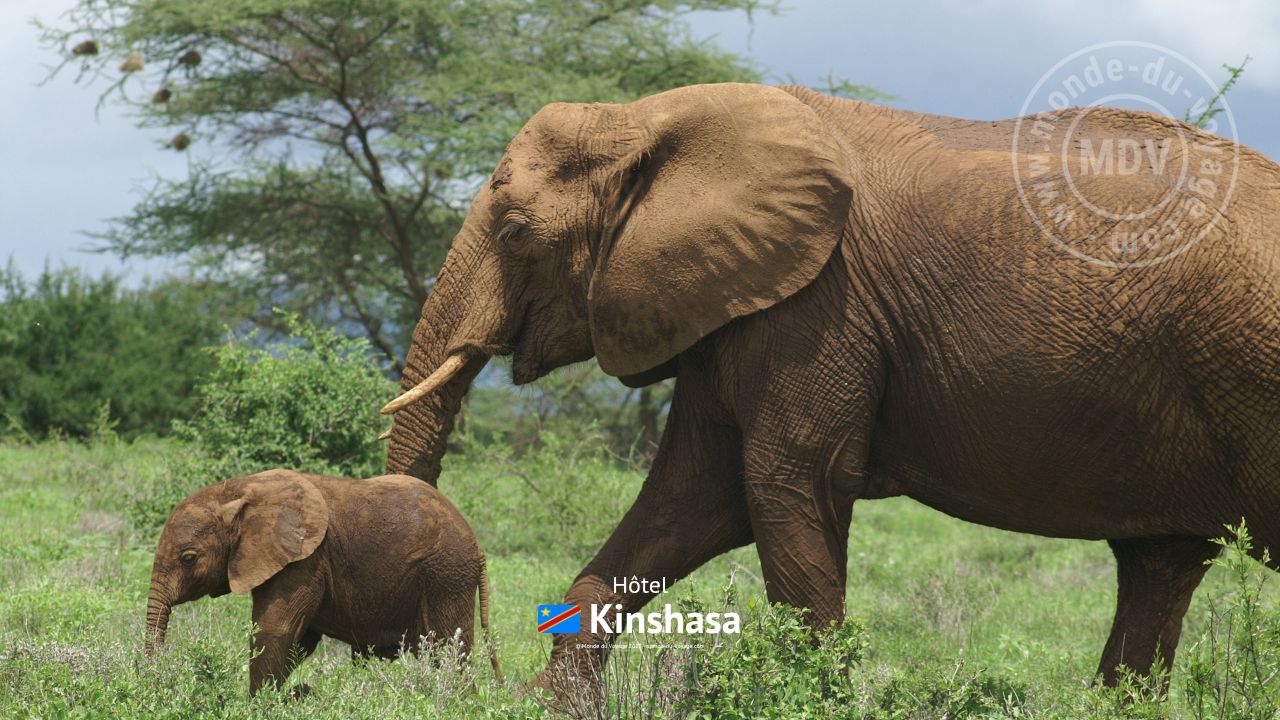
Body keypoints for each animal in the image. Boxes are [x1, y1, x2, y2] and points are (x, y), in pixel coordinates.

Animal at [144, 468, 494, 691]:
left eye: (188, 558)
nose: (155, 680)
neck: (238, 490)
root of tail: (477, 545)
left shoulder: (304, 560)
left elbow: (274, 631)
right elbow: (299, 641)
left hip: (446, 575)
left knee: (449, 650)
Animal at [378, 82, 1280, 691]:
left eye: (515, 233)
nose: (465, 679)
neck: (648, 117)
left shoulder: (818, 306)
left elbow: (786, 486)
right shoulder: (736, 303)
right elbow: (693, 501)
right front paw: (551, 702)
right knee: (1160, 566)